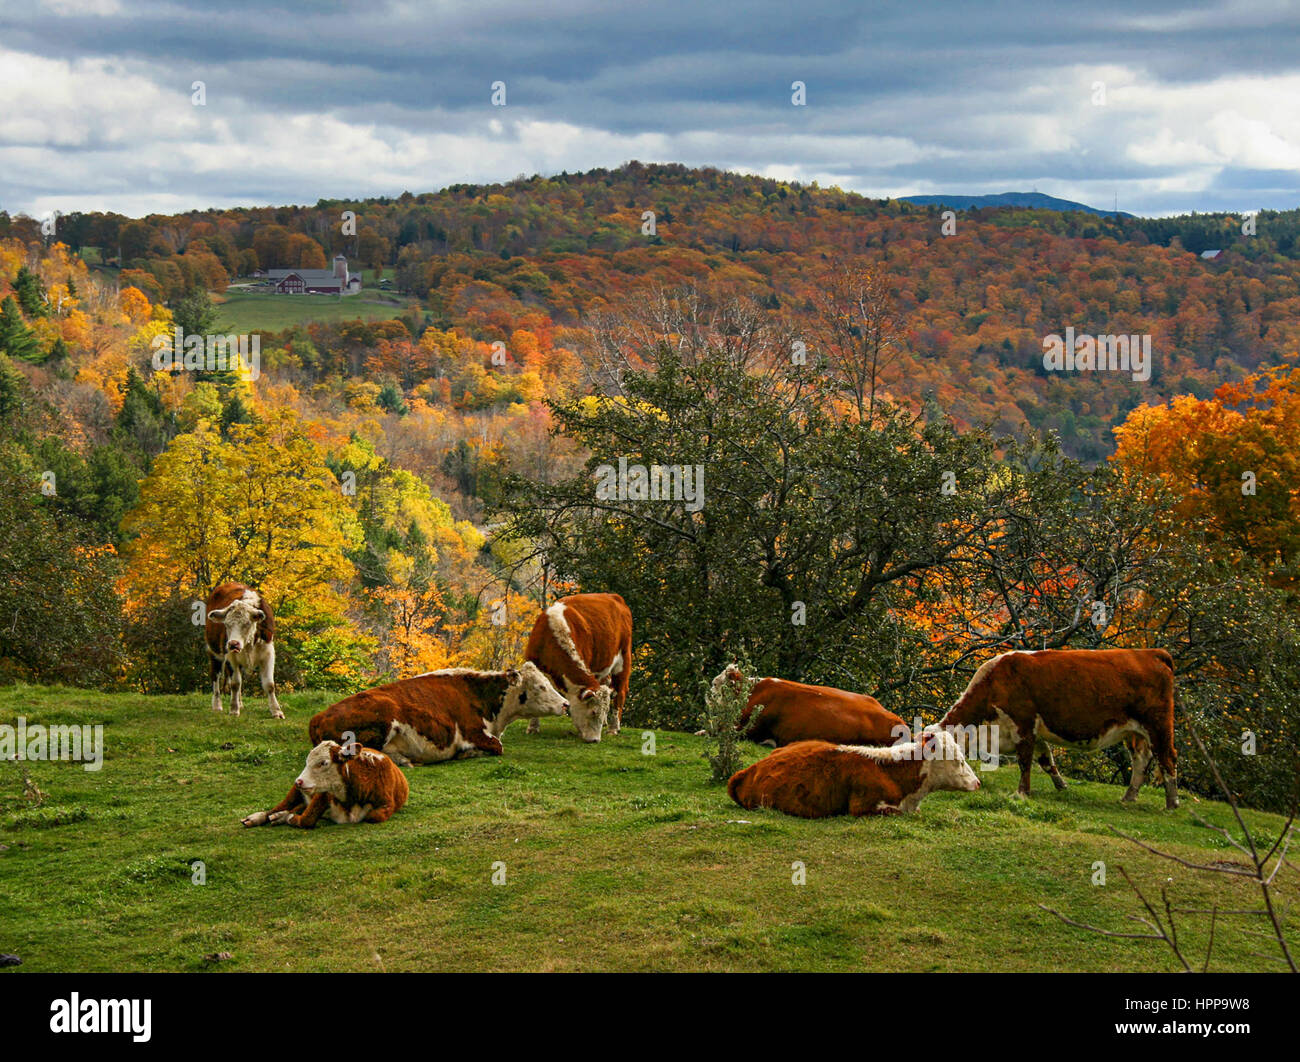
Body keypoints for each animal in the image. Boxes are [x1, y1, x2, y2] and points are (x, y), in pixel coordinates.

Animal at [205, 583, 281, 718]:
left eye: (247, 624)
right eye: (226, 624)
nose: (233, 644)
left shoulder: (268, 653)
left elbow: (269, 684)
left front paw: (276, 711)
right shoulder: (230, 657)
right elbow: (235, 684)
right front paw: (234, 709)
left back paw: (240, 703)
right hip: (213, 652)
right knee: (216, 676)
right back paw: (217, 705)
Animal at [241, 740, 408, 829]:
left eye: (323, 763)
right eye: (307, 761)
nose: (298, 781)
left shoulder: (386, 804)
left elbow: (373, 816)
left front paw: (286, 817)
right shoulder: (323, 794)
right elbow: (307, 818)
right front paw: (289, 817)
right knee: (284, 805)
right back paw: (256, 818)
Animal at [306, 663, 568, 766]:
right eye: (540, 687)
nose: (566, 705)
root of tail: (318, 716)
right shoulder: (474, 733)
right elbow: (497, 746)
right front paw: (467, 754)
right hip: (383, 721)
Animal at [523, 592, 632, 743]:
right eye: (593, 712)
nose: (595, 740)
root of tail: (614, 596)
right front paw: (533, 728)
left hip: (623, 660)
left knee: (620, 692)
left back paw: (613, 728)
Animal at [929, 648, 1178, 809]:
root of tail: (1152, 652)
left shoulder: (1023, 725)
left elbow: (1025, 762)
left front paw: (1022, 793)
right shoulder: (1032, 733)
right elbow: (1046, 761)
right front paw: (1062, 786)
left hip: (1158, 725)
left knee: (1167, 758)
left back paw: (1172, 802)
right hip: (1134, 732)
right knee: (1141, 759)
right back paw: (1129, 797)